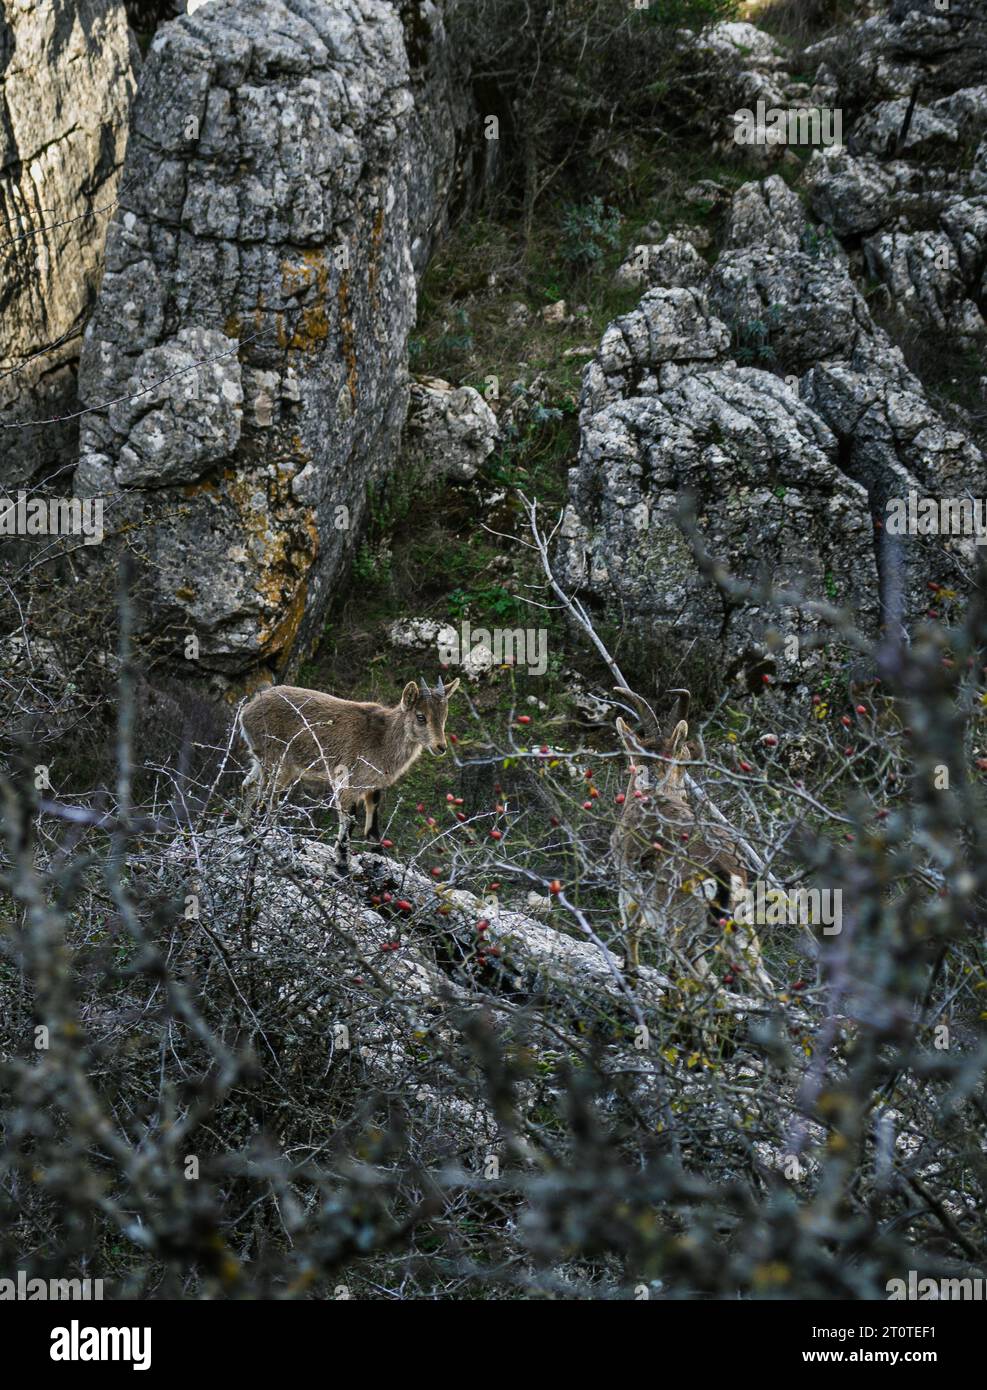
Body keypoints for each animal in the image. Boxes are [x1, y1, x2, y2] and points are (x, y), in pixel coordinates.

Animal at [239, 674, 460, 870]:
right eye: (421, 716)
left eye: (444, 716)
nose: (441, 747)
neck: (383, 739)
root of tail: (246, 712)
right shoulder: (347, 781)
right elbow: (349, 819)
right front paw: (342, 860)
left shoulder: (372, 785)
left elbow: (372, 818)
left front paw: (378, 852)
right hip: (278, 762)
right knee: (268, 796)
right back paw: (271, 834)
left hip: (261, 760)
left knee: (249, 786)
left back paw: (243, 829)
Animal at [611, 685, 772, 993]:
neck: (648, 792)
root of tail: (723, 876)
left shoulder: (628, 884)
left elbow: (631, 928)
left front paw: (630, 975)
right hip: (740, 925)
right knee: (761, 979)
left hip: (681, 926)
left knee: (704, 979)